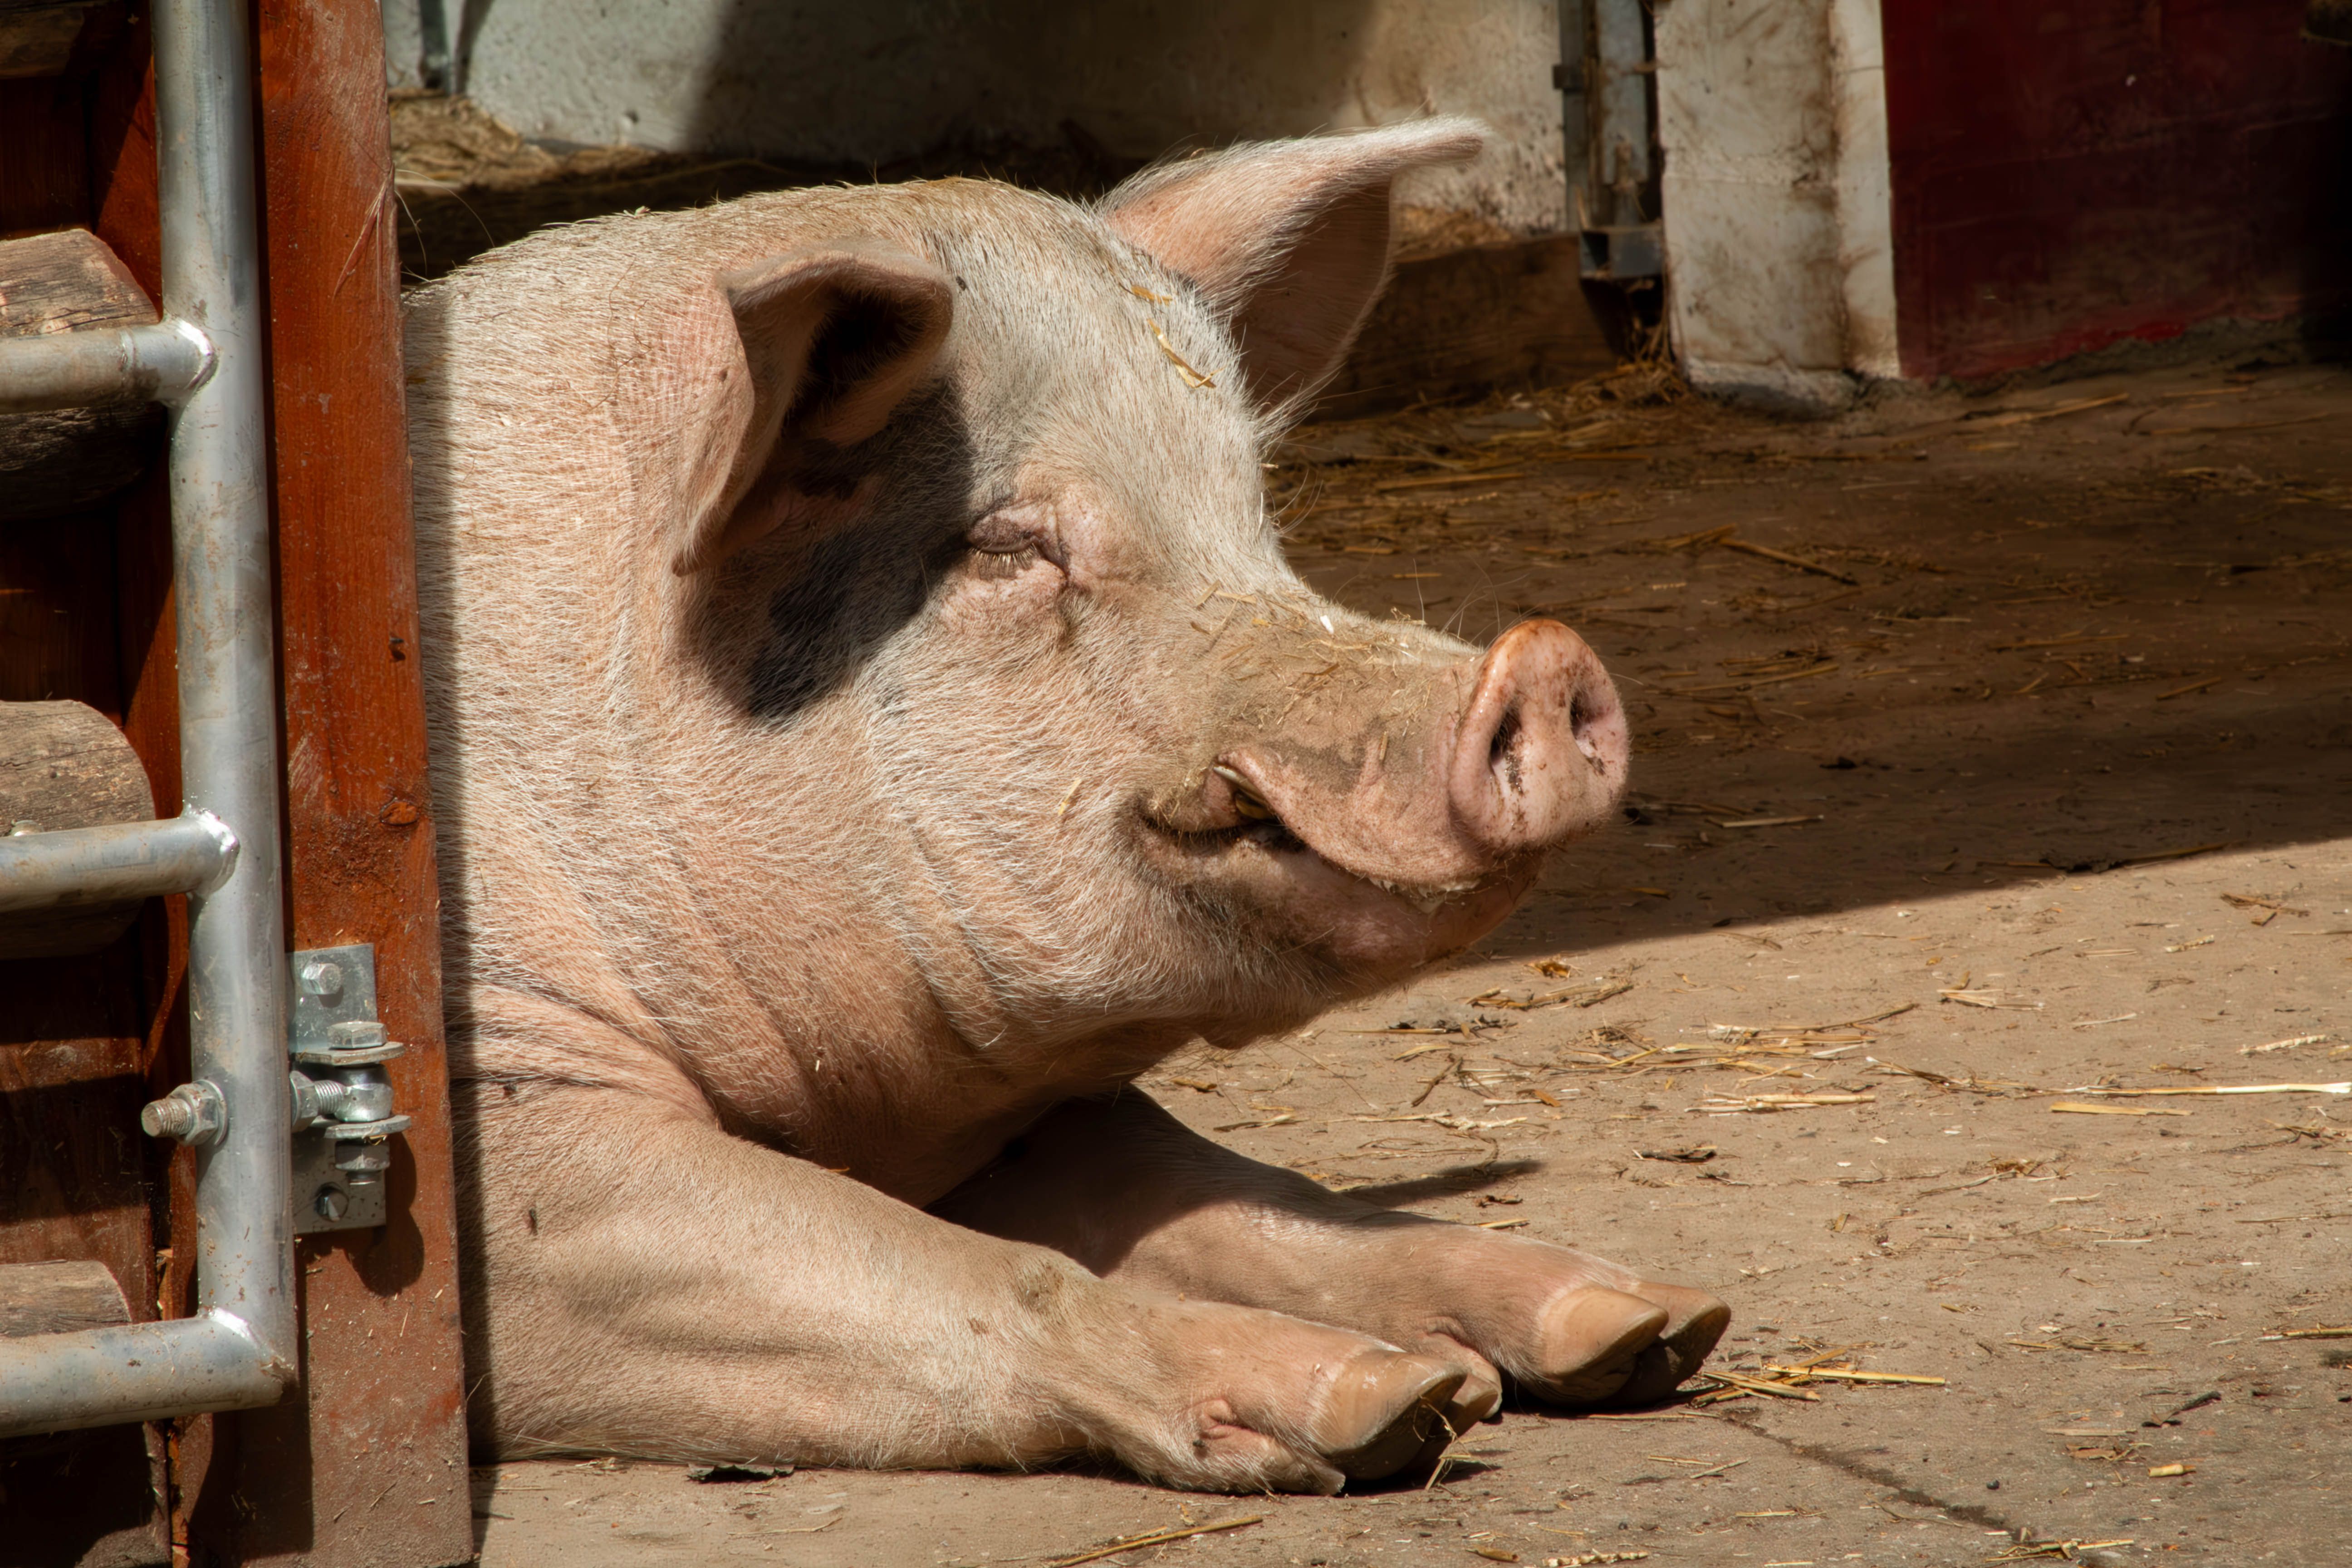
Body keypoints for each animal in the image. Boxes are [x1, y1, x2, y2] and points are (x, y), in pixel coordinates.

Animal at [405, 116, 1728, 1495]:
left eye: (1254, 517)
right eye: (1006, 545)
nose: (1541, 662)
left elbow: (1240, 1191)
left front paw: (1641, 1323)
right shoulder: (500, 1113)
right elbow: (974, 1267)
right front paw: (1394, 1400)